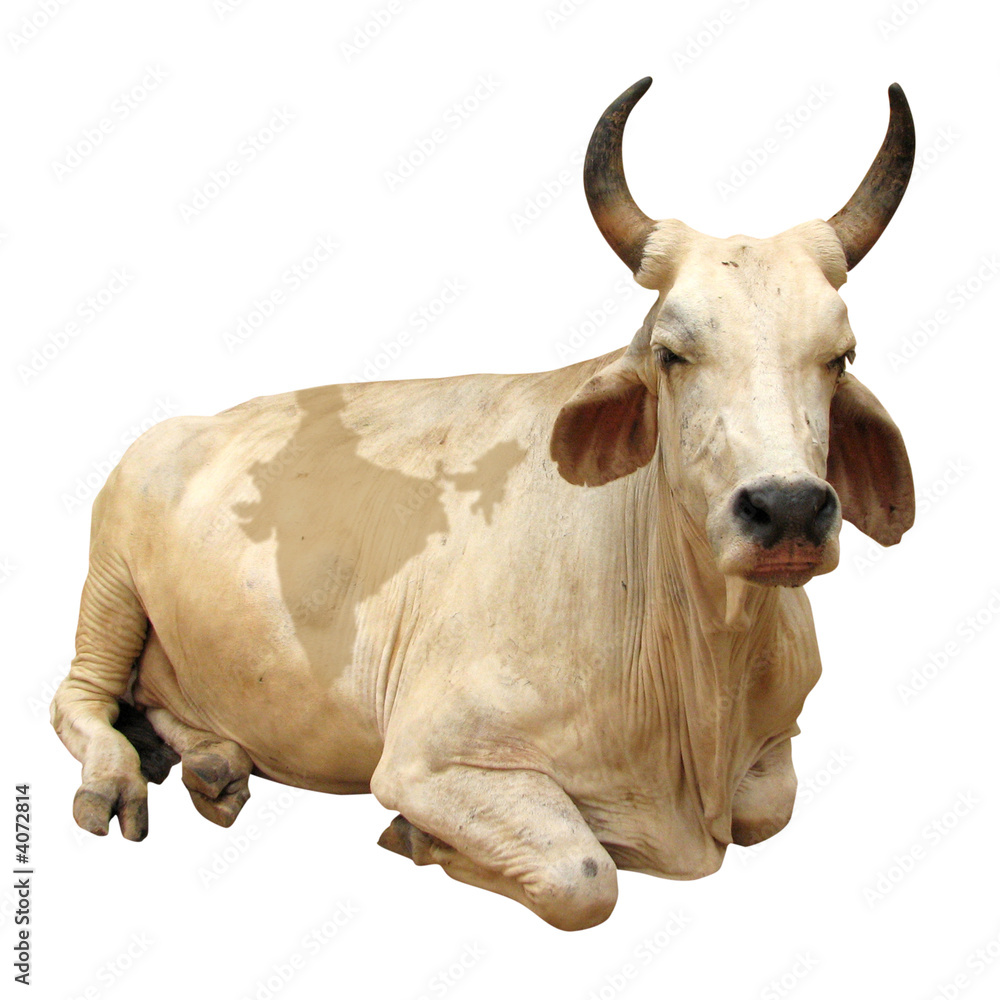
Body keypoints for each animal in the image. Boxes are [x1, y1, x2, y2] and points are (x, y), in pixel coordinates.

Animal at [51, 78, 915, 930]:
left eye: (841, 358)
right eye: (672, 354)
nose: (789, 510)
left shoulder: (776, 743)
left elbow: (769, 806)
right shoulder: (427, 757)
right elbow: (584, 876)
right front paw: (415, 836)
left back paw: (211, 762)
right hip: (110, 583)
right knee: (79, 697)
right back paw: (120, 778)